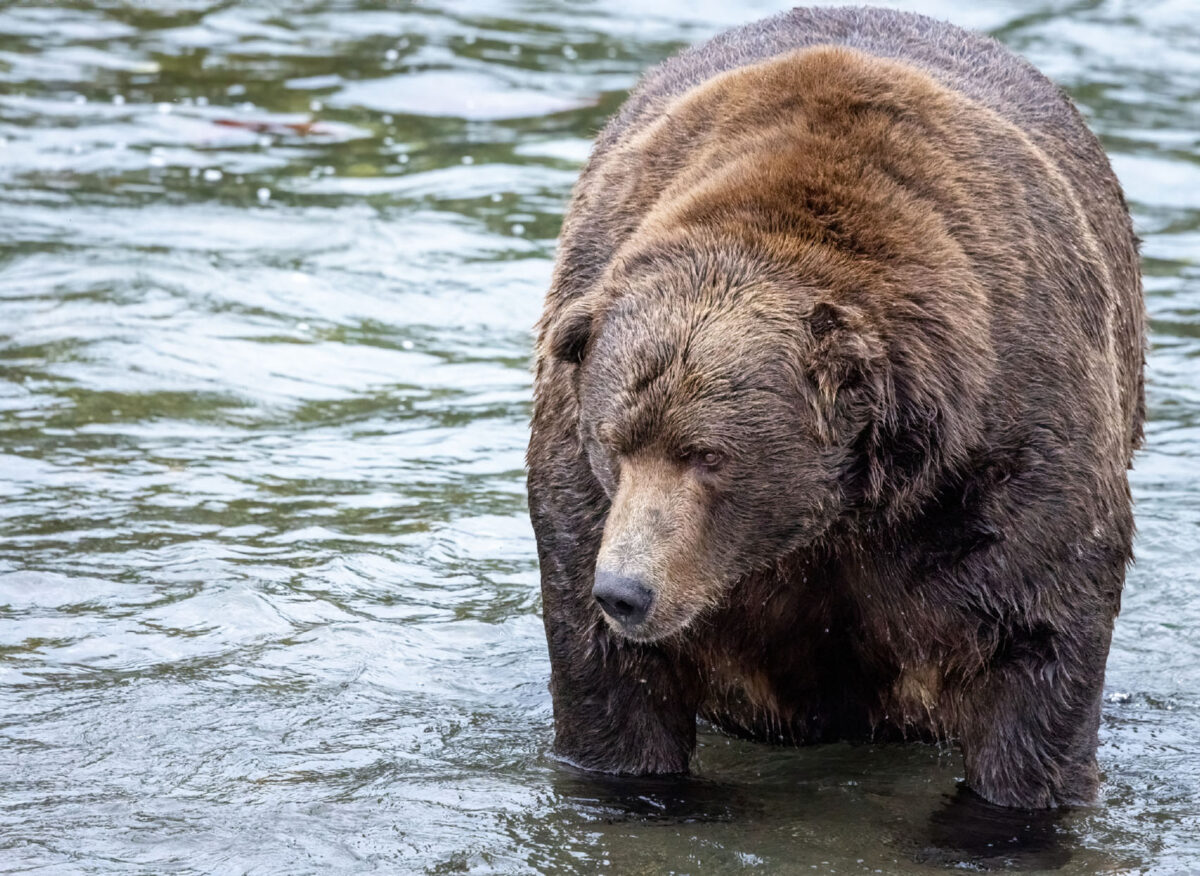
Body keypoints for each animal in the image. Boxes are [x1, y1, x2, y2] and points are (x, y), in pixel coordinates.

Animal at [526, 6, 1144, 809]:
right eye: (615, 441)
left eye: (708, 454)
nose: (627, 590)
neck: (835, 516)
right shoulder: (588, 490)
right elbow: (612, 684)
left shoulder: (1006, 450)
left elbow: (1036, 645)